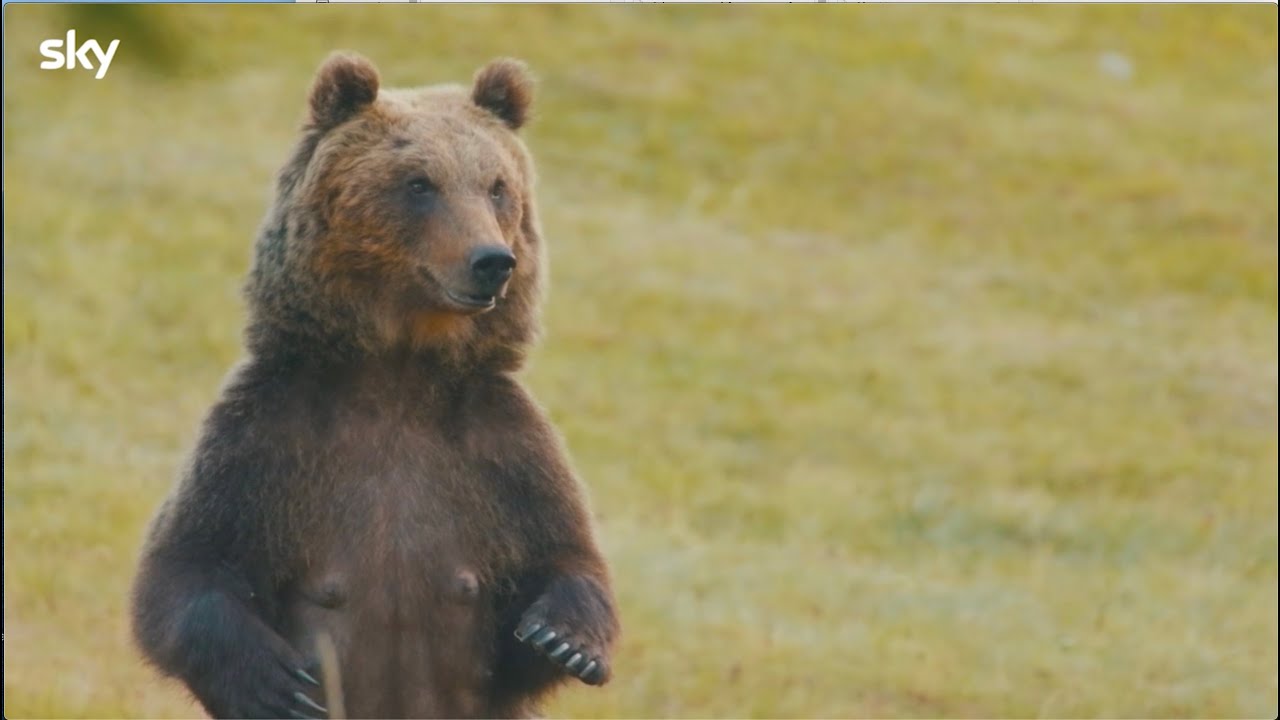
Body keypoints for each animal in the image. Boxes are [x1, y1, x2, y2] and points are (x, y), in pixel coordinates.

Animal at [129, 52, 620, 720]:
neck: (397, 373)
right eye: (419, 183)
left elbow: (568, 557)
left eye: (497, 186)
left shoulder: (503, 452)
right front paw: (276, 683)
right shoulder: (264, 439)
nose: (492, 260)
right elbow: (184, 570)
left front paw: (564, 639)